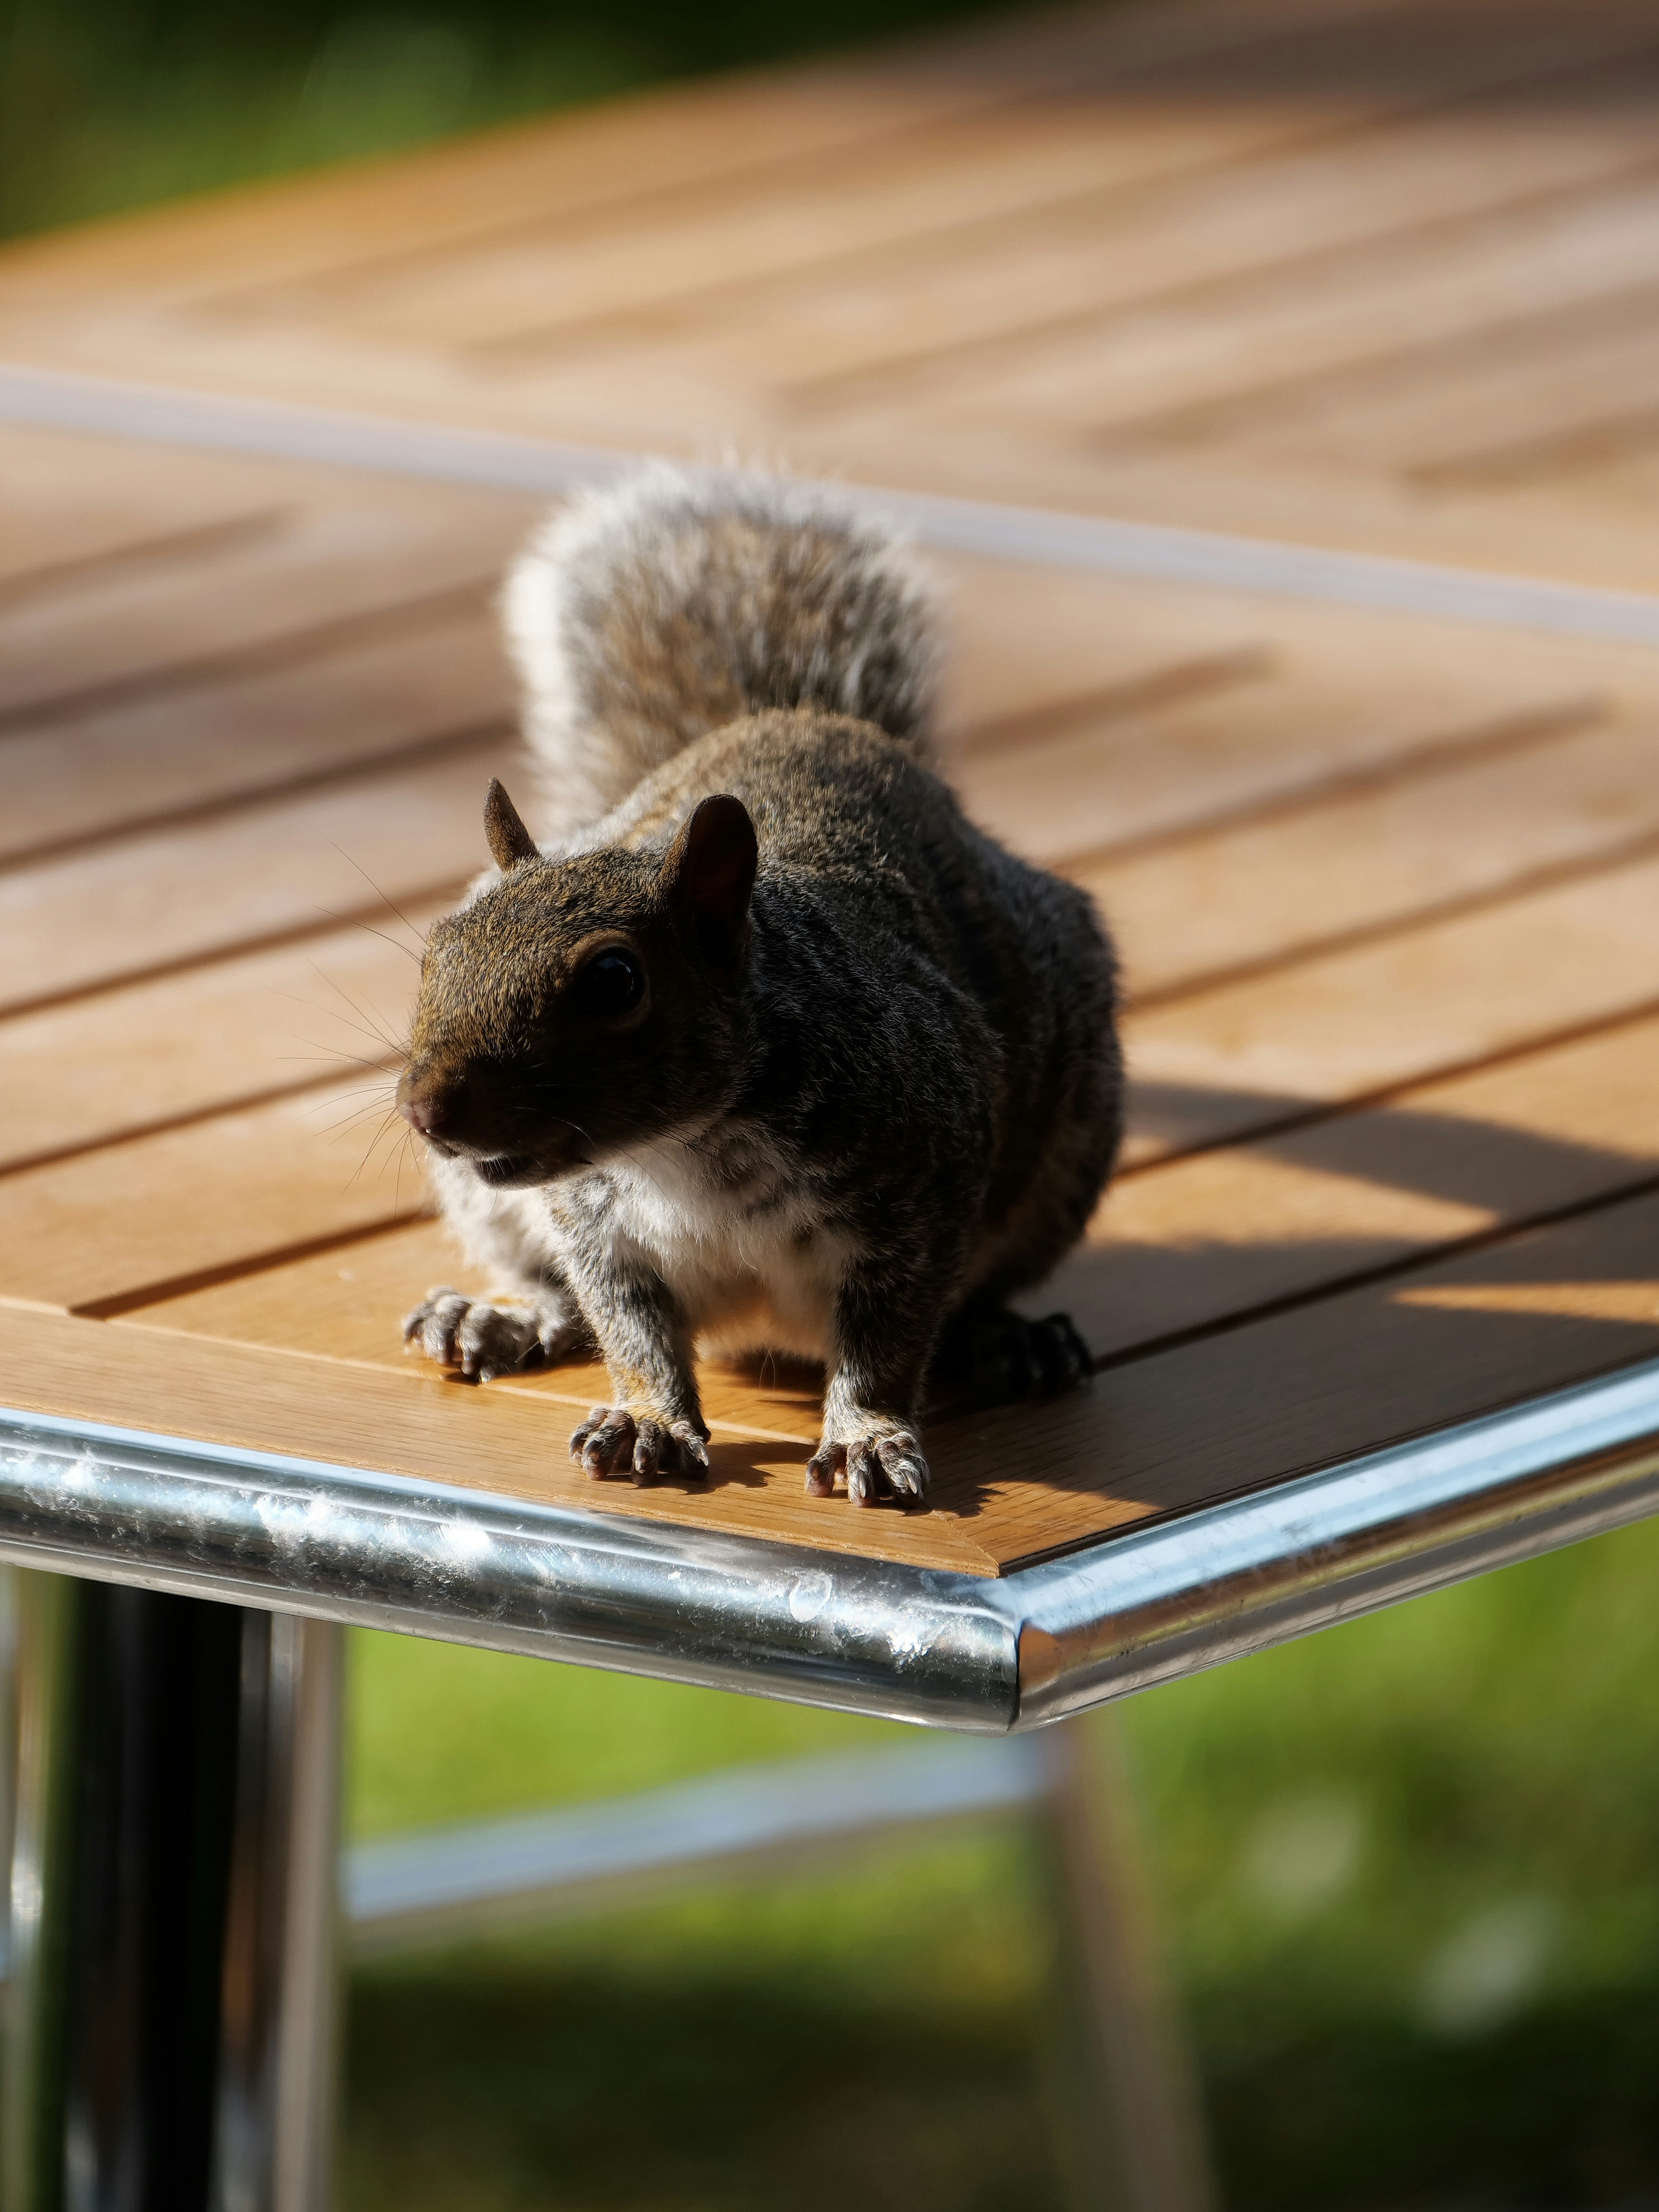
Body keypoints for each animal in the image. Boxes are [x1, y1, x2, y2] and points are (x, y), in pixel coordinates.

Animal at [397, 465, 1122, 1507]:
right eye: (436, 949)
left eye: (614, 981)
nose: (426, 1111)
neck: (682, 1152)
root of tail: (811, 720)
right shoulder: (599, 1233)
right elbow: (629, 1327)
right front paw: (649, 1419)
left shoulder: (923, 1184)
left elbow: (887, 1341)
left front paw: (865, 1435)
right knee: (556, 1294)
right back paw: (505, 1315)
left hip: (1064, 1150)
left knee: (981, 1289)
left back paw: (1003, 1338)